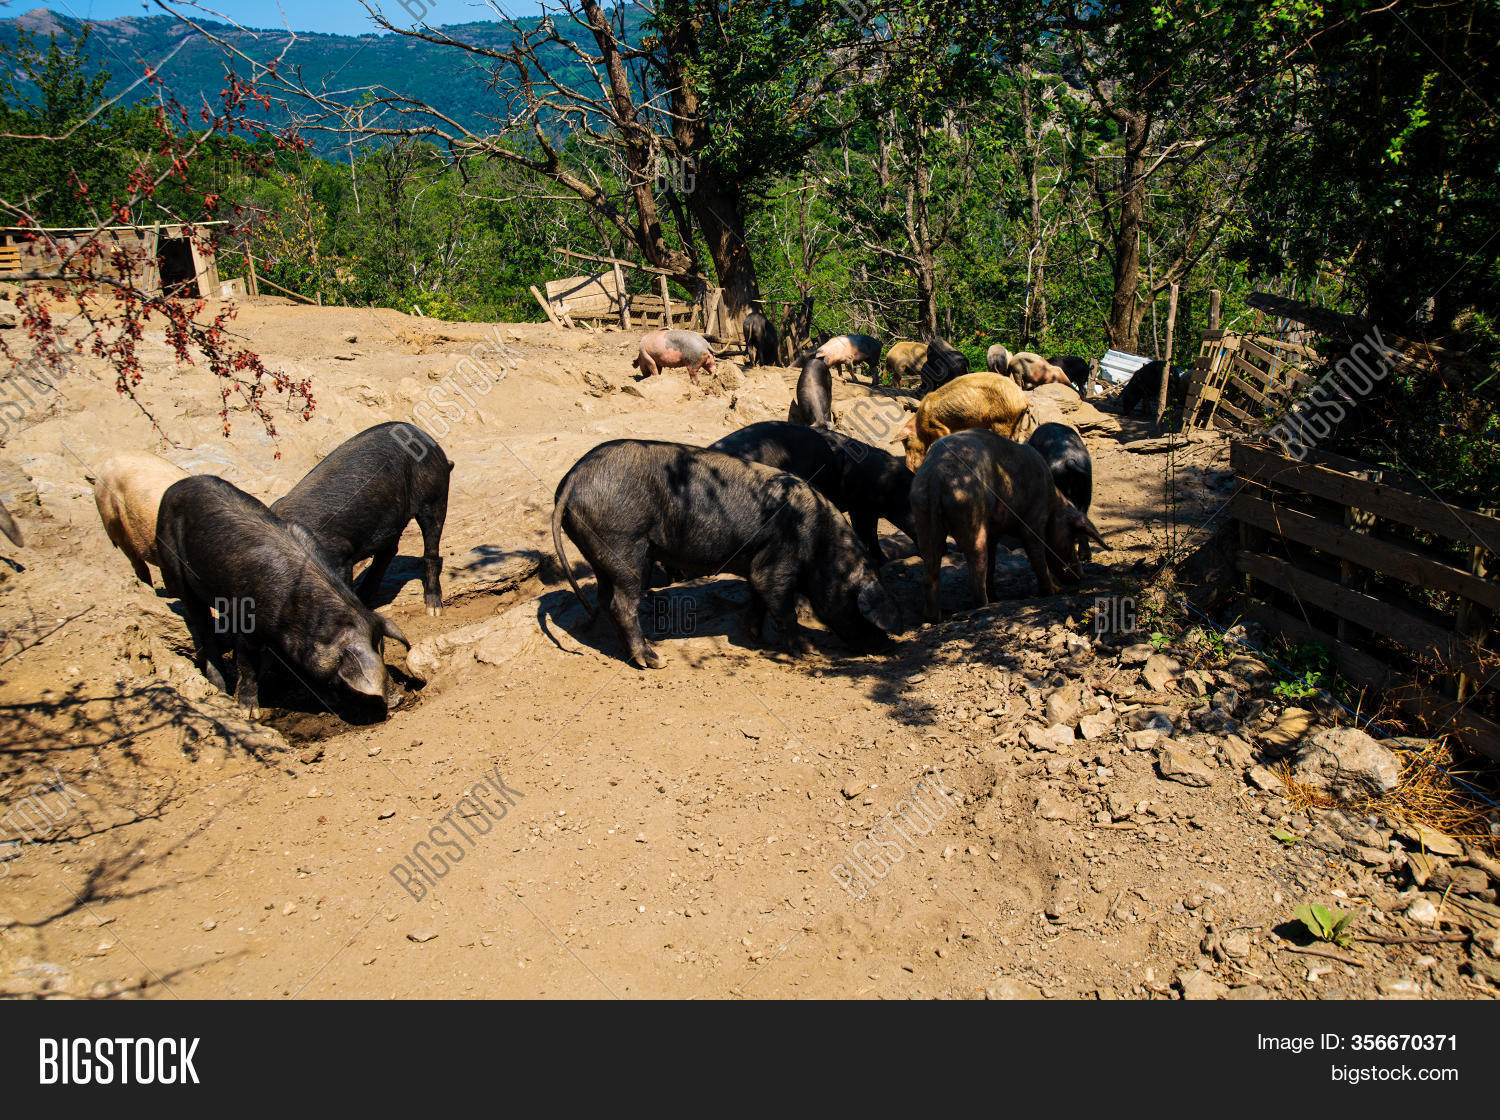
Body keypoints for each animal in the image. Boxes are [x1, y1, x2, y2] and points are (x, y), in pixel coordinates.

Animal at [156, 475, 411, 718]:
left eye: (383, 650)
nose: (397, 699)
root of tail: (174, 487)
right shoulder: (247, 620)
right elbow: (246, 663)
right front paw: (250, 713)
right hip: (173, 566)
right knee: (201, 625)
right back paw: (219, 688)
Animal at [552, 439, 901, 668]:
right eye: (857, 604)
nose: (889, 646)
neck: (821, 546)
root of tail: (571, 479)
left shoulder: (761, 563)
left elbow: (759, 597)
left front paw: (755, 637)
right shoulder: (779, 560)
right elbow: (781, 604)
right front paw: (809, 650)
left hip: (601, 553)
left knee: (604, 598)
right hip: (625, 545)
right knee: (621, 603)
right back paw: (654, 661)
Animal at [896, 372, 1031, 472]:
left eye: (906, 443)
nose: (908, 468)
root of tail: (1023, 399)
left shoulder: (937, 425)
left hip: (1002, 419)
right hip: (1017, 421)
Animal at [910, 429, 1107, 621]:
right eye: (1071, 537)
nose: (1081, 576)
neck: (1054, 502)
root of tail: (936, 477)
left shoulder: (993, 532)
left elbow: (993, 560)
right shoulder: (1034, 518)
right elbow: (1037, 553)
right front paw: (1053, 591)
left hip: (923, 510)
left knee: (931, 567)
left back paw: (934, 617)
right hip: (969, 510)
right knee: (975, 568)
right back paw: (985, 606)